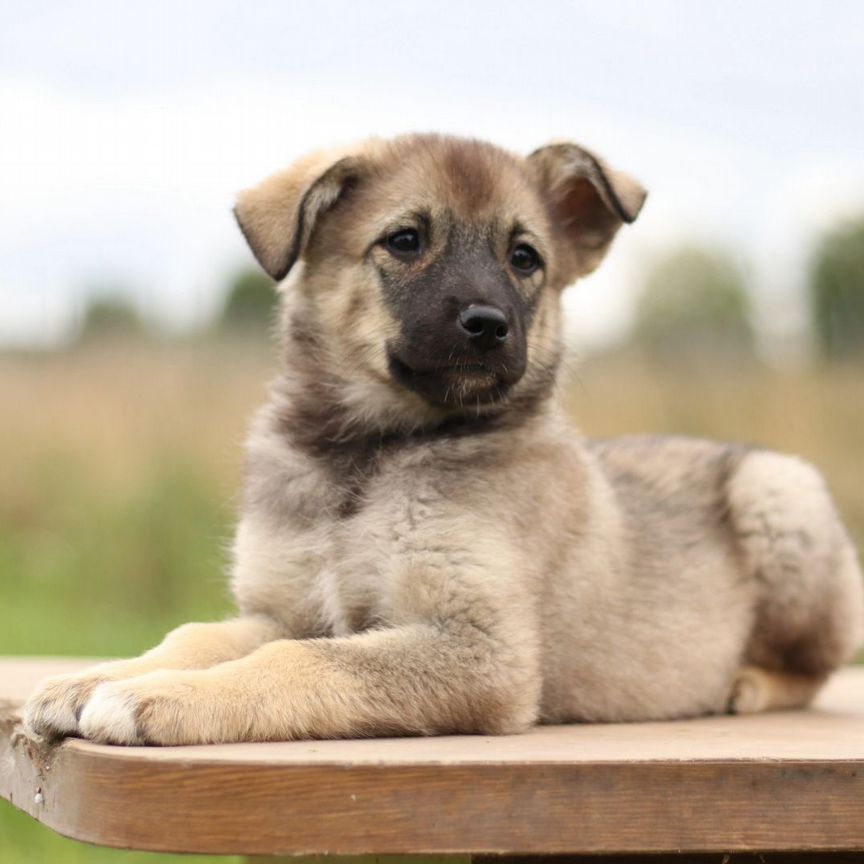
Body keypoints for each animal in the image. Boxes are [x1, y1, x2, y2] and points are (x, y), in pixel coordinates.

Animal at [23, 133, 860, 744]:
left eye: (524, 258)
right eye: (404, 240)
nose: (488, 327)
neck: (367, 454)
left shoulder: (479, 649)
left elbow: (296, 662)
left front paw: (154, 697)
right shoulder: (278, 606)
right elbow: (198, 635)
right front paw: (102, 676)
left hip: (781, 497)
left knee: (813, 665)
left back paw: (747, 682)